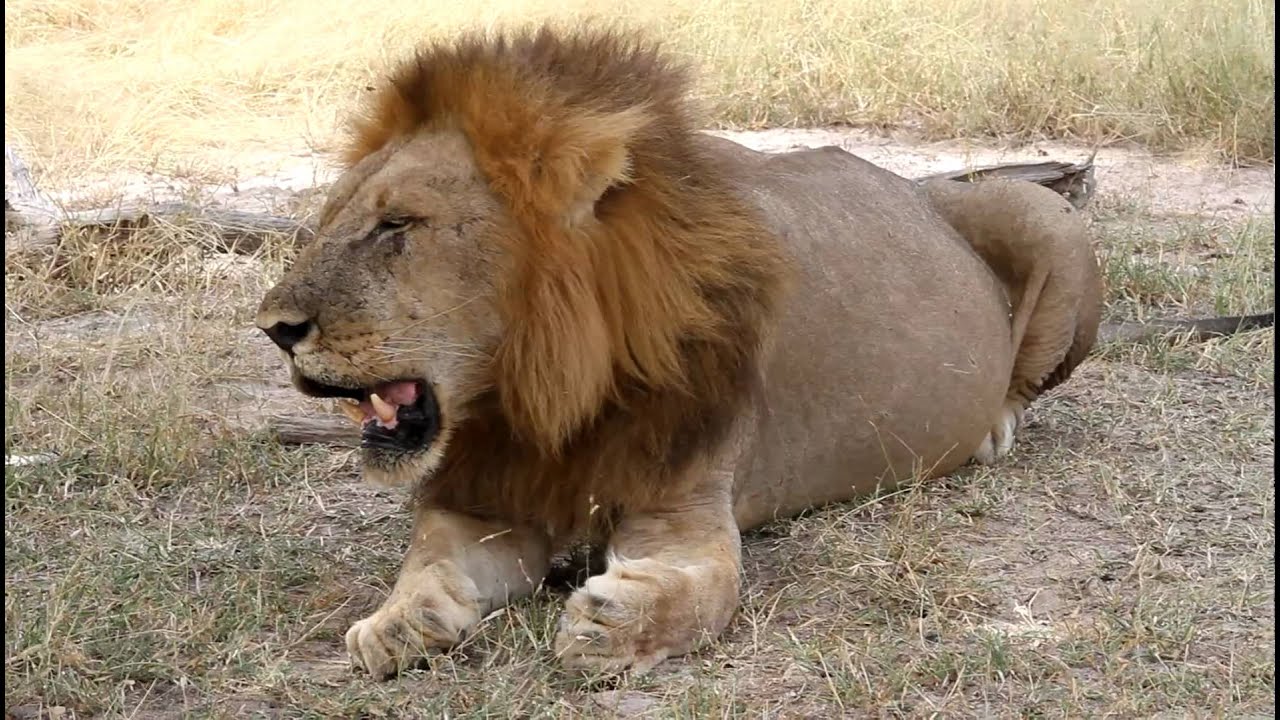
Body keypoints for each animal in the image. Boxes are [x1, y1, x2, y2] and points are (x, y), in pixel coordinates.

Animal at [254, 26, 1108, 679]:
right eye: (329, 220)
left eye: (397, 225)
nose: (274, 327)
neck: (538, 397)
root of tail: (912, 185)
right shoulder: (483, 498)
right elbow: (429, 563)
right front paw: (396, 624)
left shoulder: (684, 505)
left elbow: (700, 587)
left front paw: (613, 626)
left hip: (1042, 211)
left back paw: (993, 429)